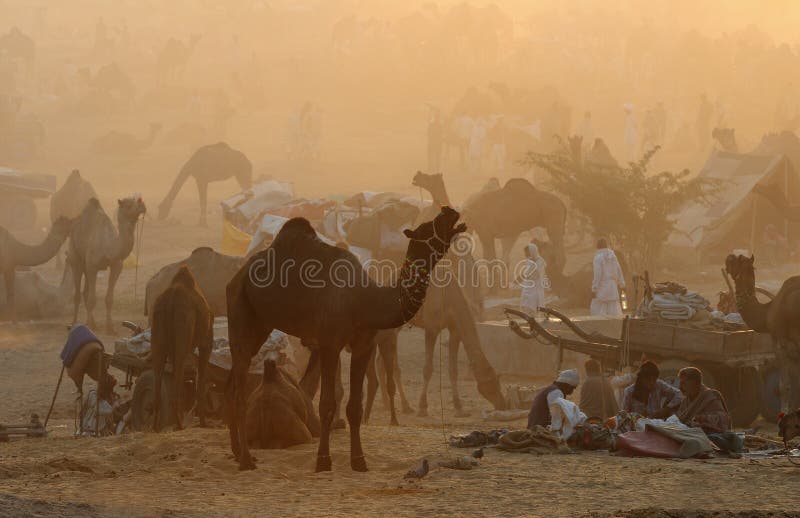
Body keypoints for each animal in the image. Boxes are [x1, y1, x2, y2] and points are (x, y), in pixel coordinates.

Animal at [68, 197, 146, 333]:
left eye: (138, 201)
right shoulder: (93, 266)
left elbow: (109, 299)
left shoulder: (117, 266)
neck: (108, 247)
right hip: (75, 256)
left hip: (86, 265)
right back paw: (74, 323)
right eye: (128, 205)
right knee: (78, 293)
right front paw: (89, 327)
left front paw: (110, 328)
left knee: (85, 292)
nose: (142, 205)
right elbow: (92, 299)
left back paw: (93, 323)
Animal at [151, 266, 213, 431]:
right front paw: (204, 423)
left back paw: (156, 427)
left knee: (158, 368)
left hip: (157, 321)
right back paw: (180, 424)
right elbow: (202, 375)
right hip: (184, 323)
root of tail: (172, 299)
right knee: (180, 364)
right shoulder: (207, 340)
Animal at [225, 207, 465, 472]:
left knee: (231, 385)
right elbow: (326, 403)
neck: (365, 299)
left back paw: (236, 452)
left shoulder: (364, 346)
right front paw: (323, 461)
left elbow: (355, 407)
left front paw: (359, 461)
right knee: (239, 389)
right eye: (427, 226)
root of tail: (236, 277)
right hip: (240, 315)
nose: (448, 211)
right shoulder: (329, 344)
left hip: (261, 325)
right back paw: (246, 460)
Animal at [726, 255, 800, 412]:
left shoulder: (781, 344)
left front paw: (784, 413)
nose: (728, 258)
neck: (766, 313)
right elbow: (797, 385)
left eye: (736, 260)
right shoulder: (794, 351)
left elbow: (784, 386)